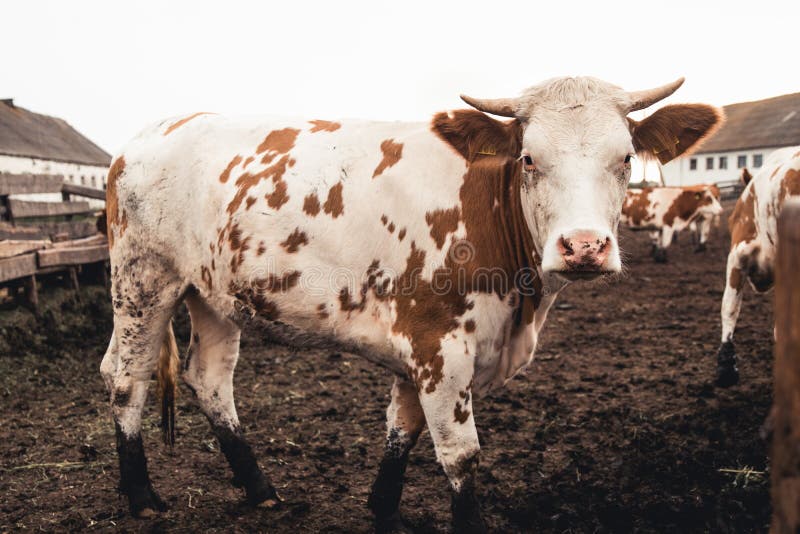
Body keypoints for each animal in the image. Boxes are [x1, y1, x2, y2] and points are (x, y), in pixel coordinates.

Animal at [99, 76, 721, 532]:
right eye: (528, 159)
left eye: (625, 159)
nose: (584, 247)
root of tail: (148, 136)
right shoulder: (438, 343)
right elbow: (459, 453)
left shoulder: (418, 344)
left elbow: (403, 427)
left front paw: (383, 505)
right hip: (143, 281)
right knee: (126, 376)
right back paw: (142, 494)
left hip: (213, 295)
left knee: (209, 379)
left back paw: (259, 488)